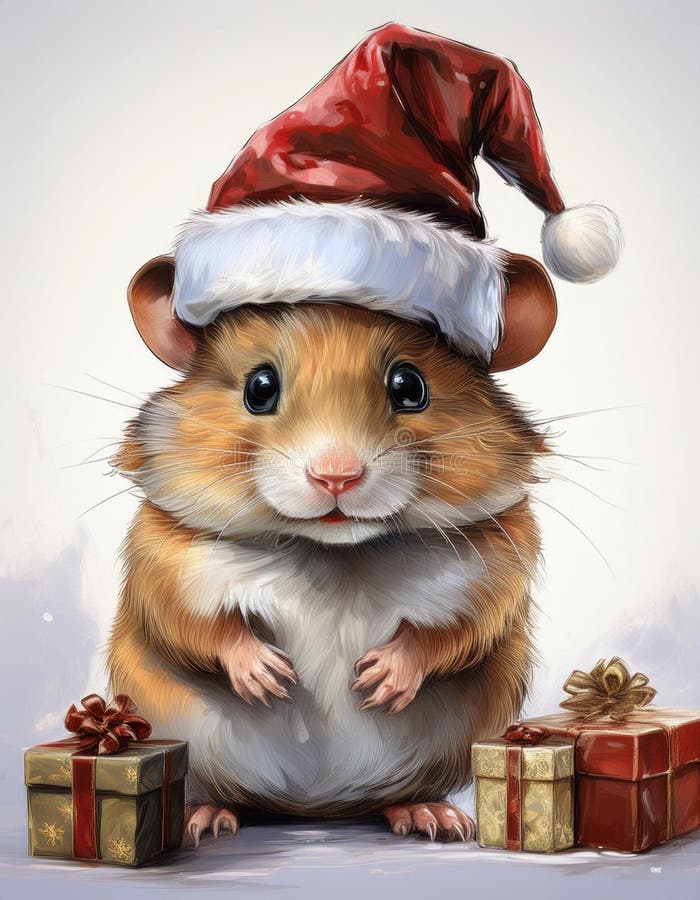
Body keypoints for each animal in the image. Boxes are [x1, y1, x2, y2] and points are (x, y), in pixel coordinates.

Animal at [108, 301, 545, 844]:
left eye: (410, 386)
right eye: (260, 387)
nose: (336, 477)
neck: (332, 553)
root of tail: (315, 807)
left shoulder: (496, 572)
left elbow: (453, 633)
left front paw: (379, 680)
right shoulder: (165, 565)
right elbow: (197, 627)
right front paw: (269, 678)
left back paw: (432, 817)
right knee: (221, 792)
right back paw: (202, 821)